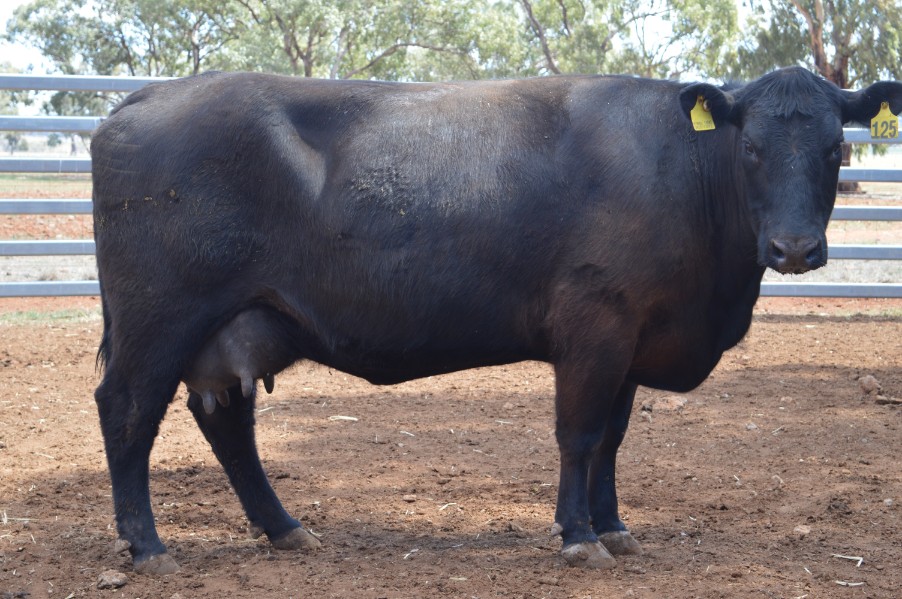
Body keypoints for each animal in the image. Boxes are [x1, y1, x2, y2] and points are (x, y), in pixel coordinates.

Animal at [90, 67, 902, 575]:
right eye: (752, 146)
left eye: (837, 146)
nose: (793, 248)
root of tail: (145, 100)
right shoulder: (594, 329)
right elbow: (579, 436)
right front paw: (578, 537)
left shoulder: (631, 341)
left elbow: (612, 441)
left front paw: (614, 527)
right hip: (157, 322)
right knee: (127, 412)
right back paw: (149, 546)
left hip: (237, 325)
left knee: (227, 422)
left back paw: (285, 528)